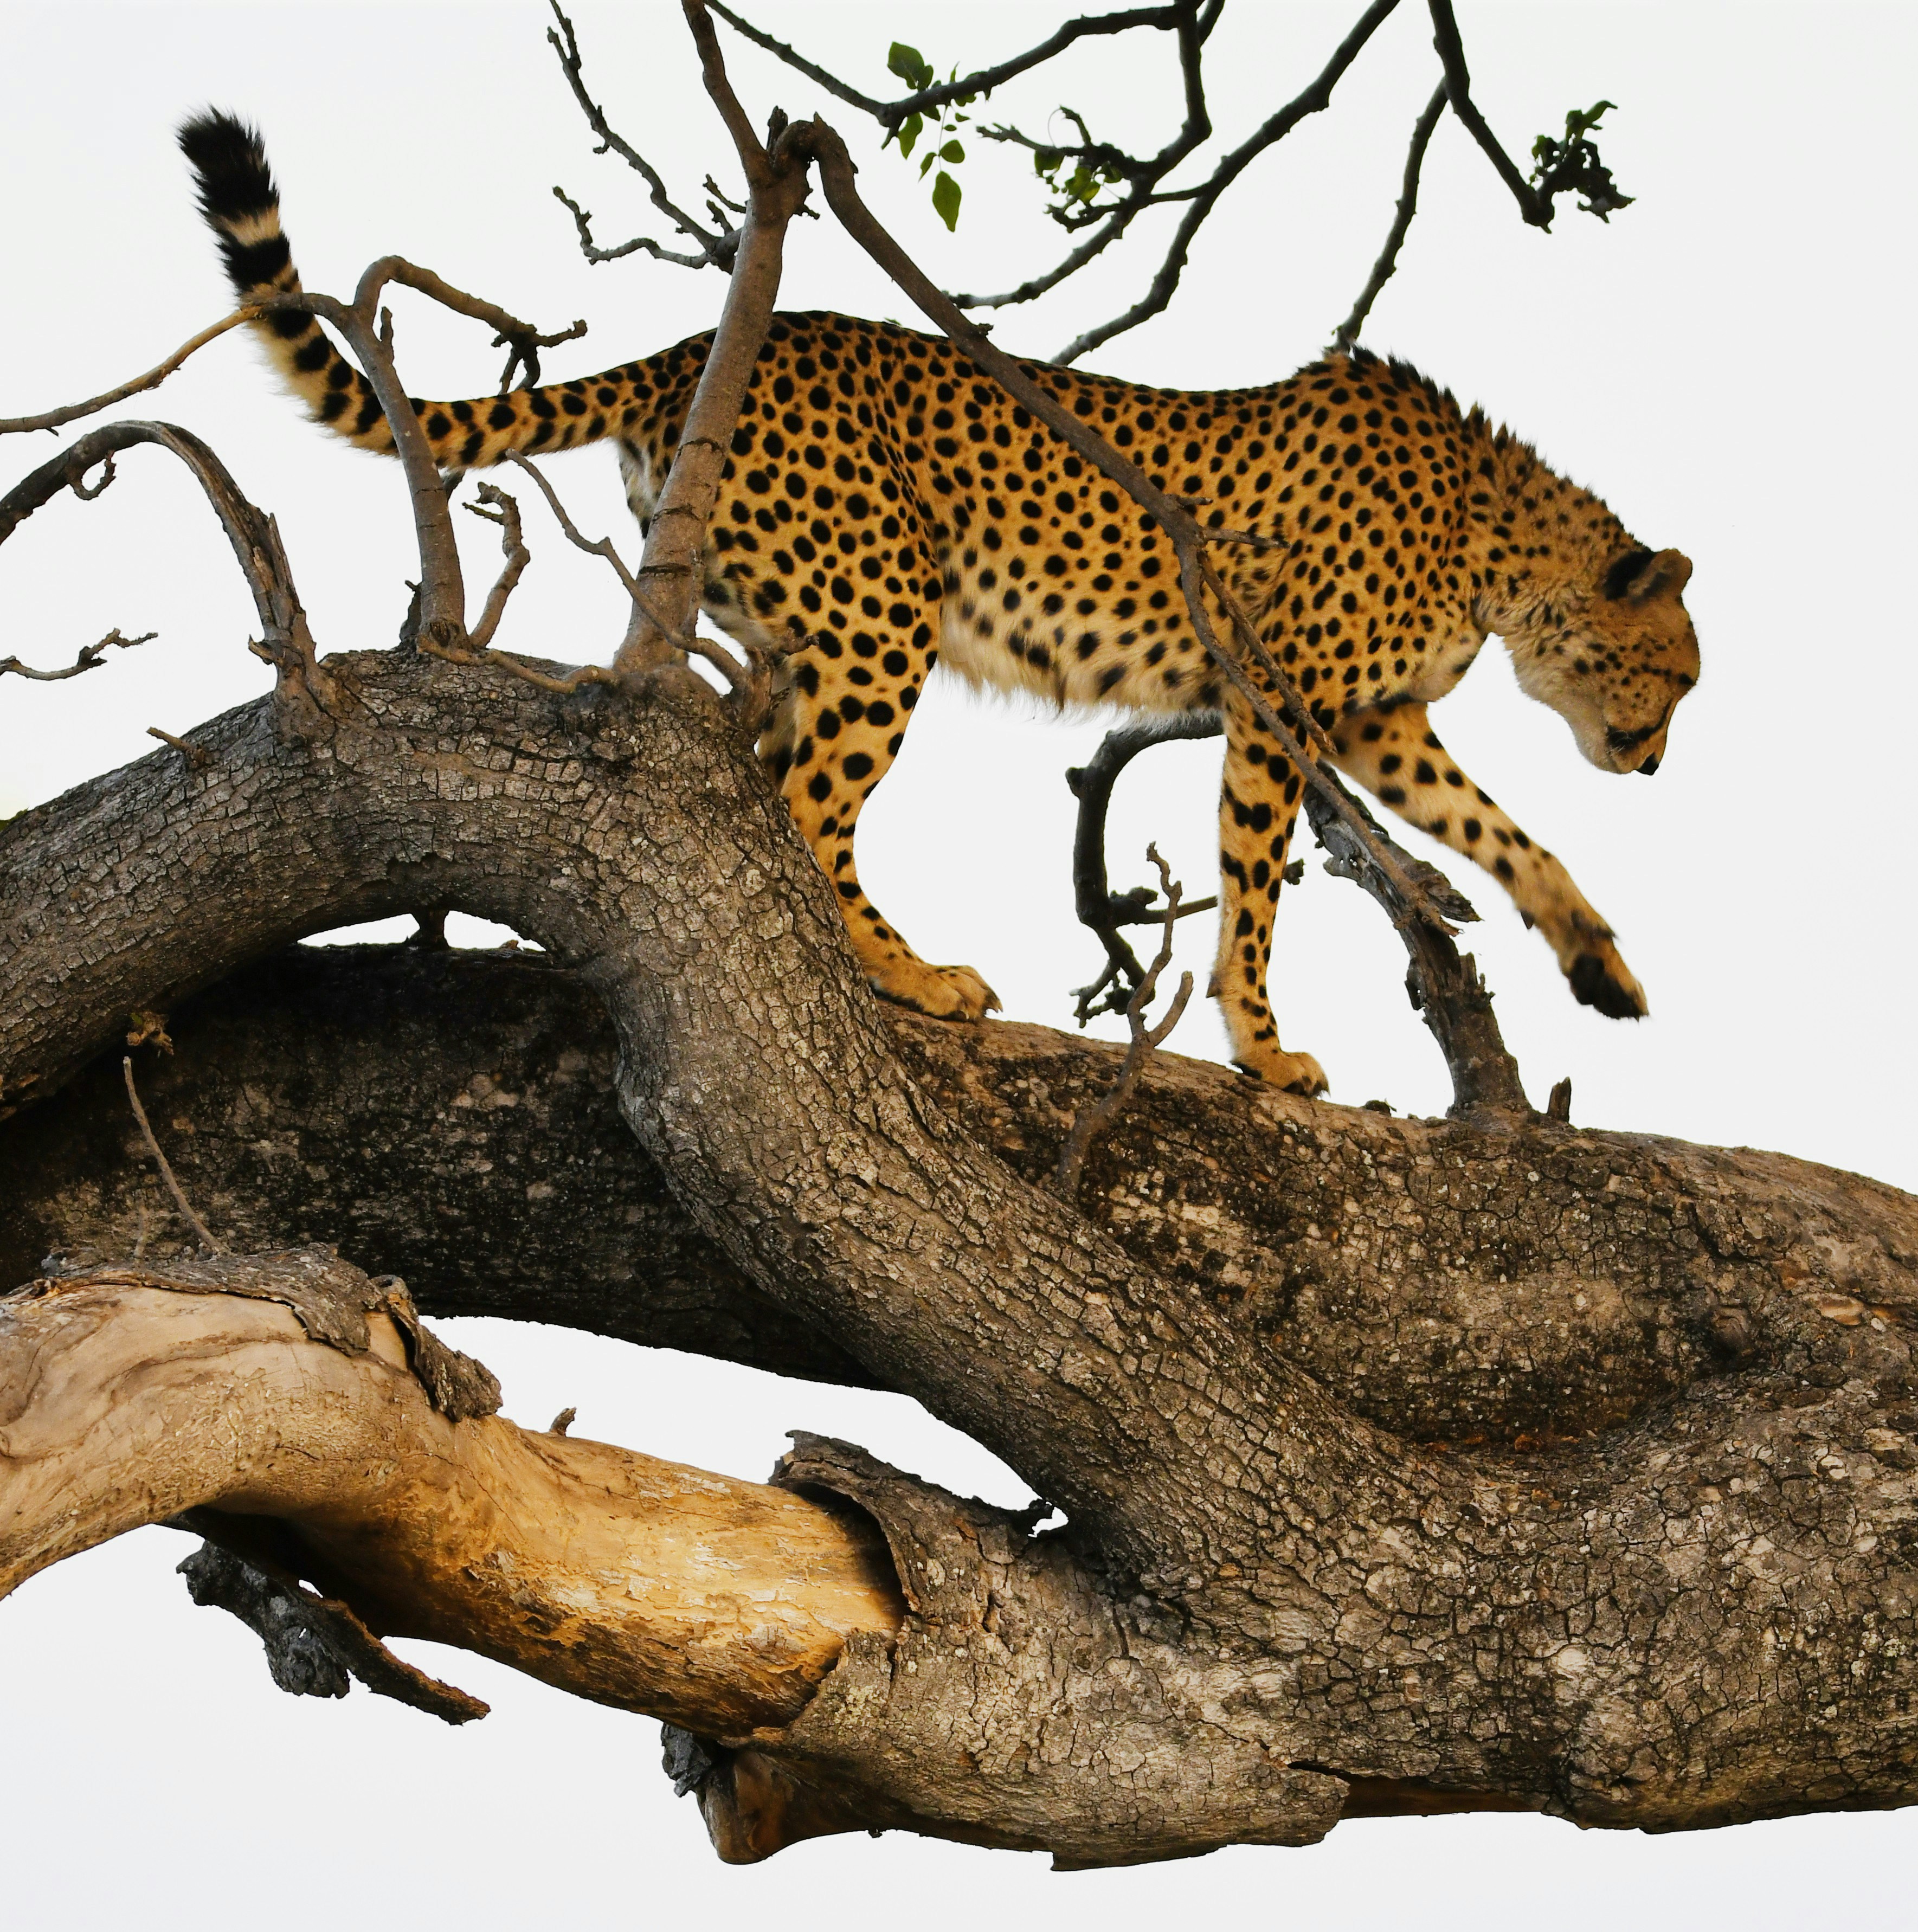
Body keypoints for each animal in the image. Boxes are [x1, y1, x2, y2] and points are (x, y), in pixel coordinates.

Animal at [181, 111, 1700, 1096]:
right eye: (1673, 678)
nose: (1652, 759)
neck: (1502, 544)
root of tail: (701, 345)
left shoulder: (1378, 721)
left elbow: (1504, 831)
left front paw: (1595, 962)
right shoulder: (1276, 700)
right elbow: (1257, 885)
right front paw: (1264, 1050)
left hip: (800, 628)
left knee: (760, 792)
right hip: (882, 613)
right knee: (806, 816)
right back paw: (903, 975)